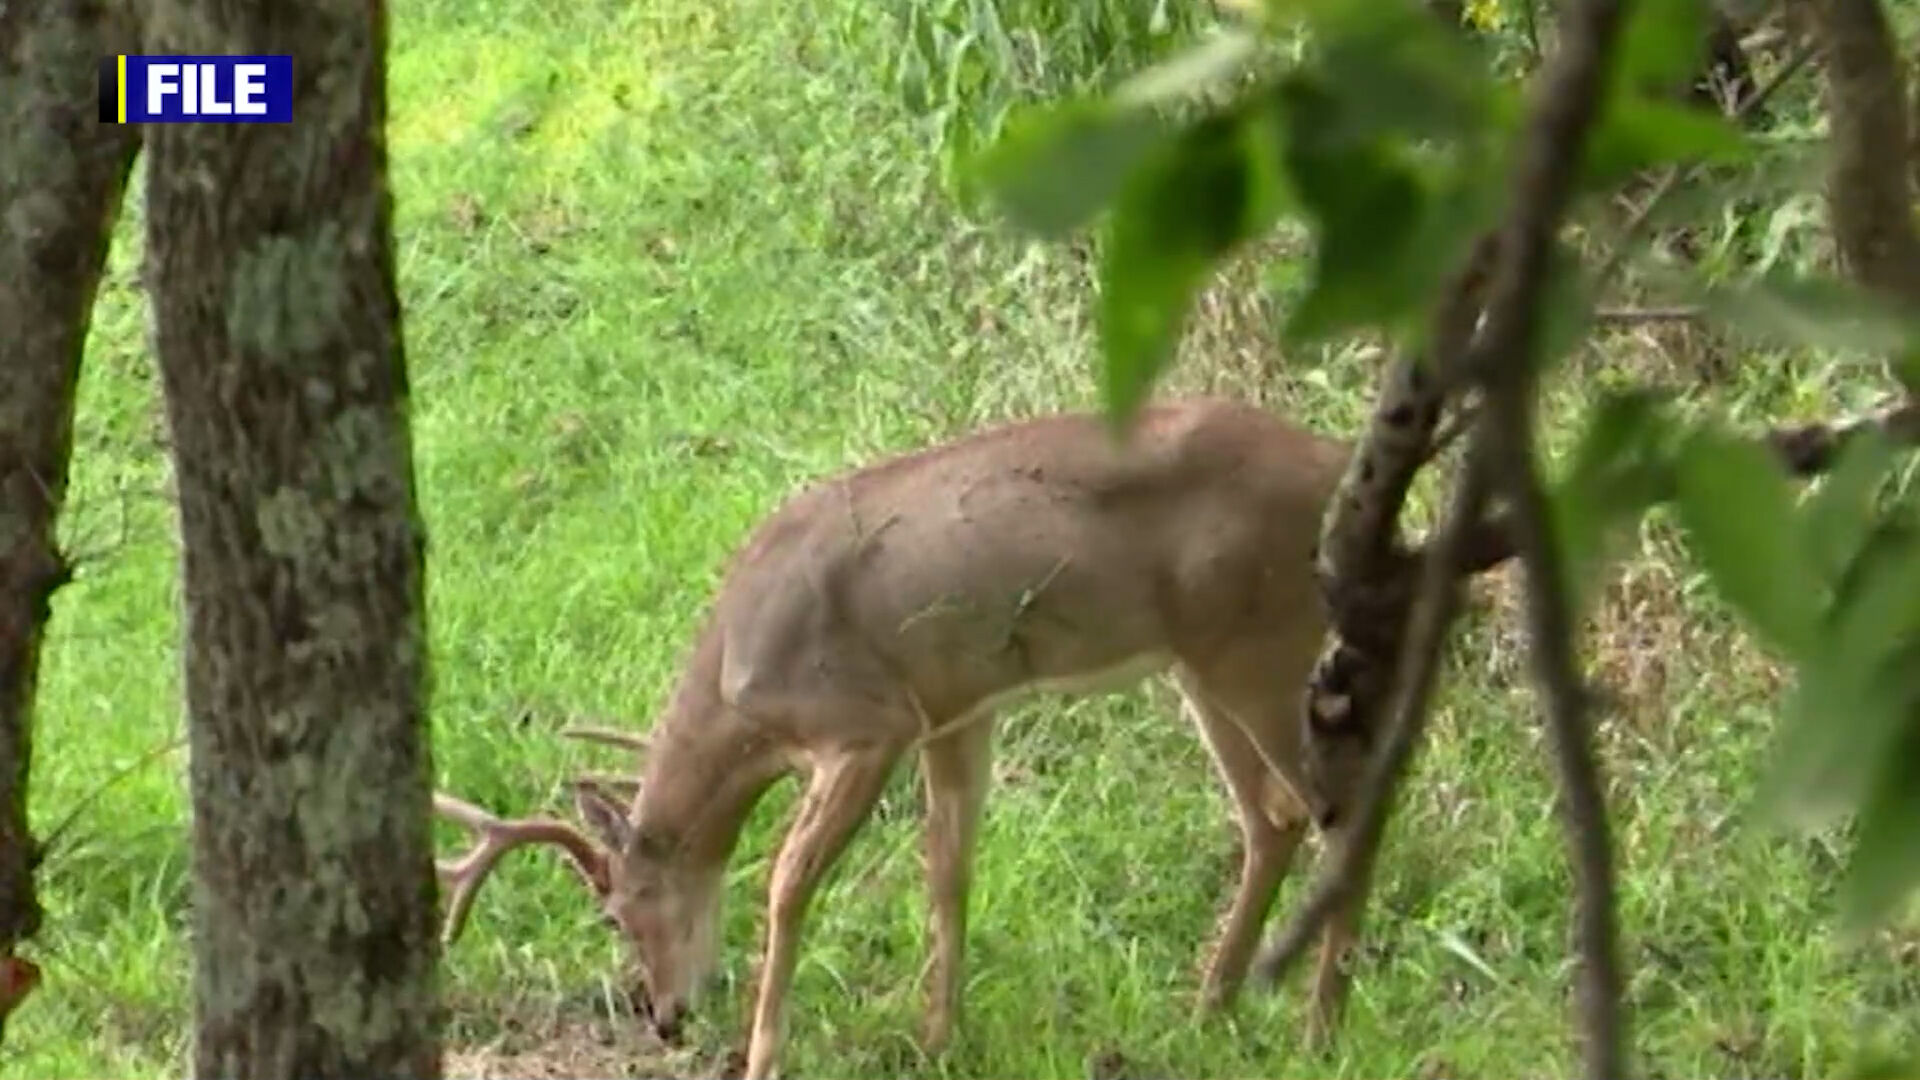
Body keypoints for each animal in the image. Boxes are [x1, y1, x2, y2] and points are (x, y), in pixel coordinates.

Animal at [433, 396, 1367, 1080]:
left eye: (616, 912)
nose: (665, 1016)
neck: (742, 684)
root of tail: (1334, 463)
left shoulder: (865, 726)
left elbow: (786, 883)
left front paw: (765, 1057)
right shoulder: (956, 711)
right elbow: (948, 873)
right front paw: (937, 1039)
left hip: (1260, 647)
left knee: (1338, 813)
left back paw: (1319, 1033)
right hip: (1204, 665)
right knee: (1273, 816)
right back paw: (1212, 1006)